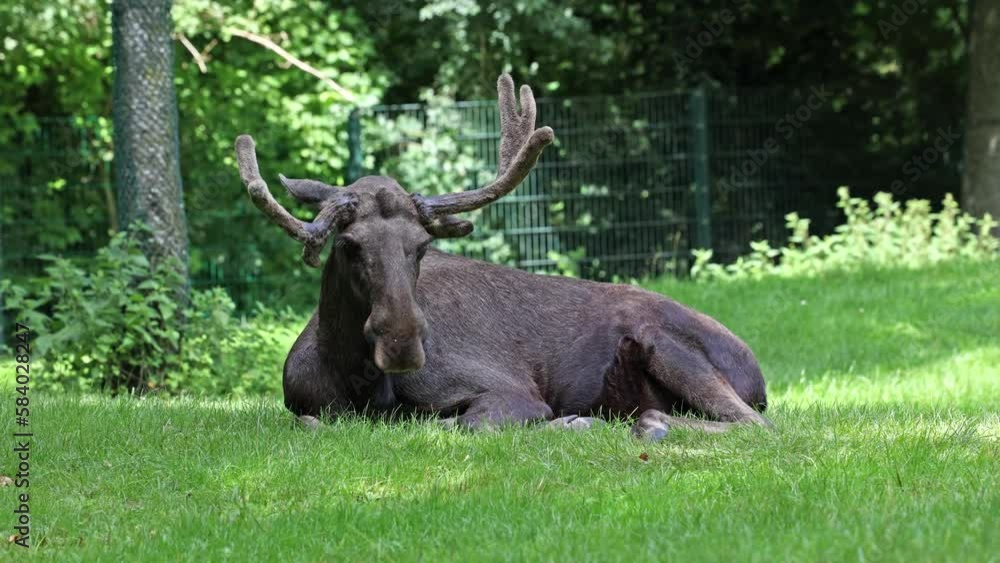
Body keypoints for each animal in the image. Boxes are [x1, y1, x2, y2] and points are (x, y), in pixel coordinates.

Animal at [234, 74, 769, 441]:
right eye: (349, 244)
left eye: (422, 245)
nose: (402, 343)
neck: (355, 381)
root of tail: (759, 377)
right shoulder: (302, 405)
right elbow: (311, 422)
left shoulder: (510, 391)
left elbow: (457, 425)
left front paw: (569, 423)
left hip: (666, 344)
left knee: (756, 425)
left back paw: (639, 425)